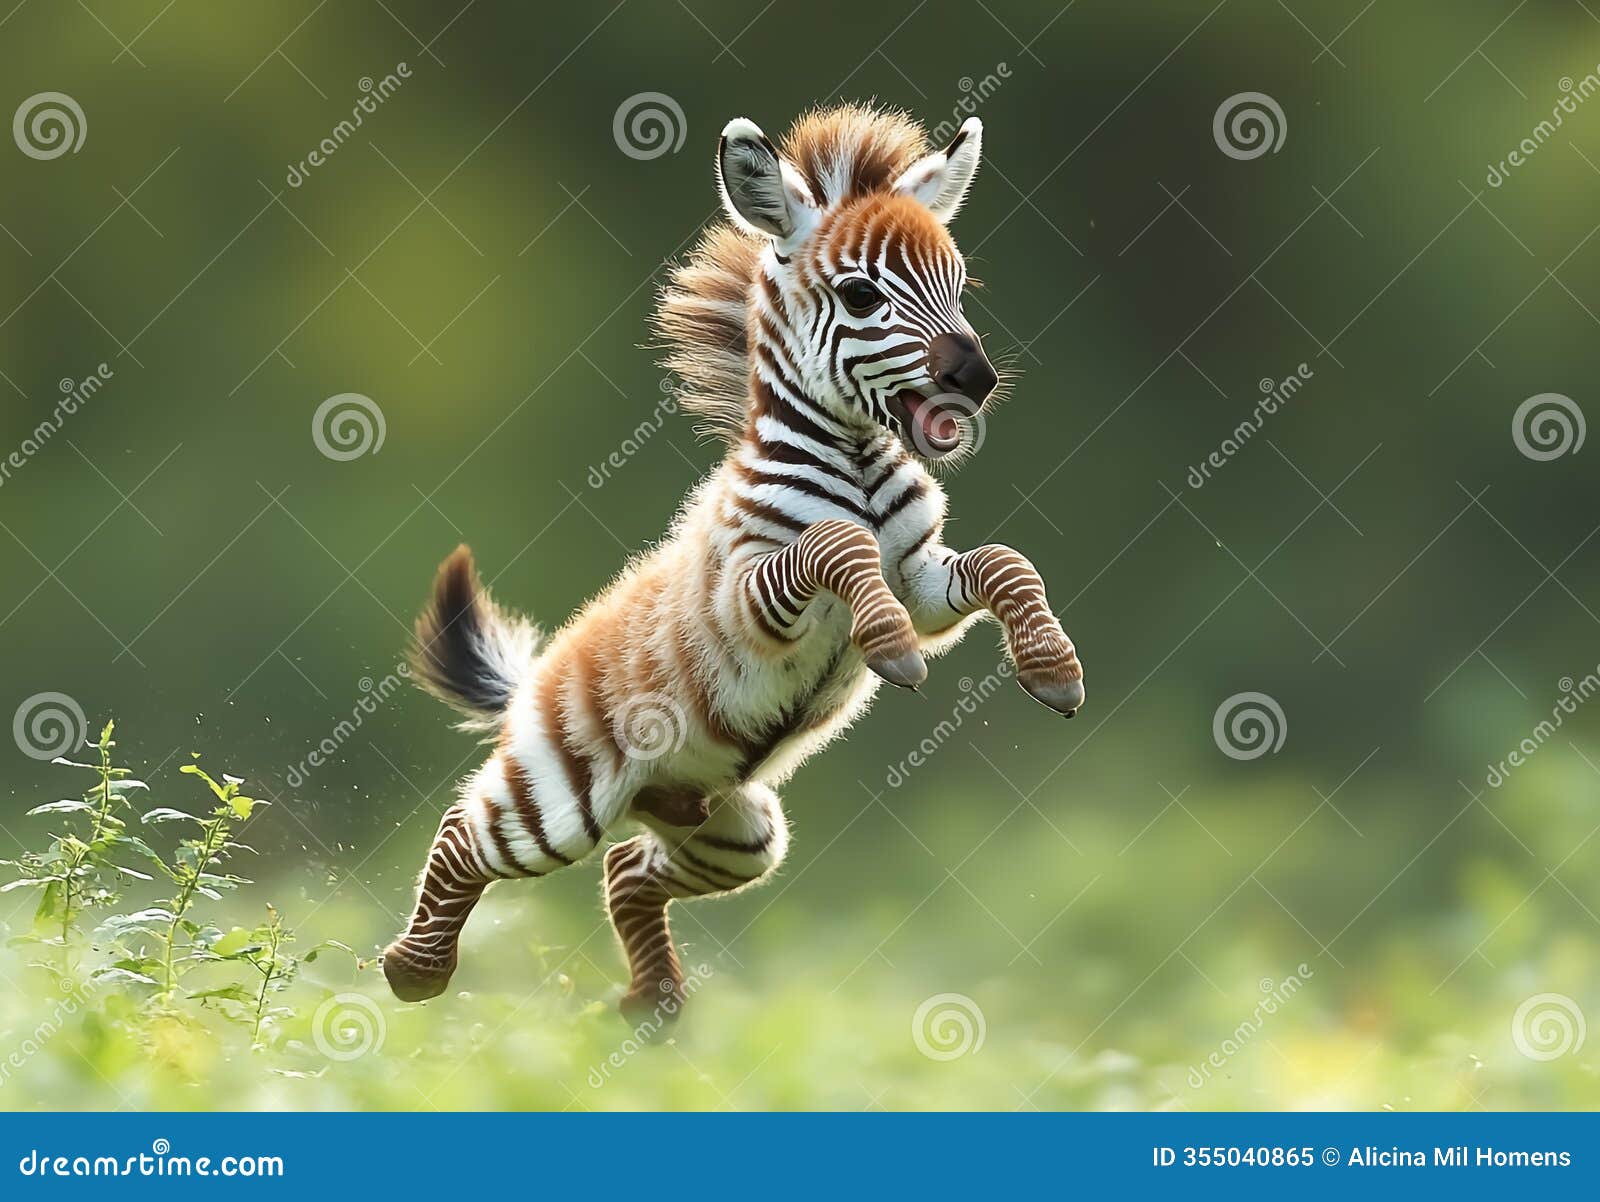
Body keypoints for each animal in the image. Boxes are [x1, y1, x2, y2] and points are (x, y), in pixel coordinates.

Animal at [383, 104, 1085, 1023]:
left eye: (958, 286)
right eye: (862, 295)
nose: (976, 379)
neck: (859, 465)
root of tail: (536, 676)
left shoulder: (924, 577)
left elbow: (1006, 565)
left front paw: (1053, 668)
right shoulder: (747, 596)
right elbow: (832, 547)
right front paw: (890, 647)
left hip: (734, 830)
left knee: (627, 868)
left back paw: (654, 1007)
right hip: (562, 798)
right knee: (466, 835)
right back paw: (414, 970)